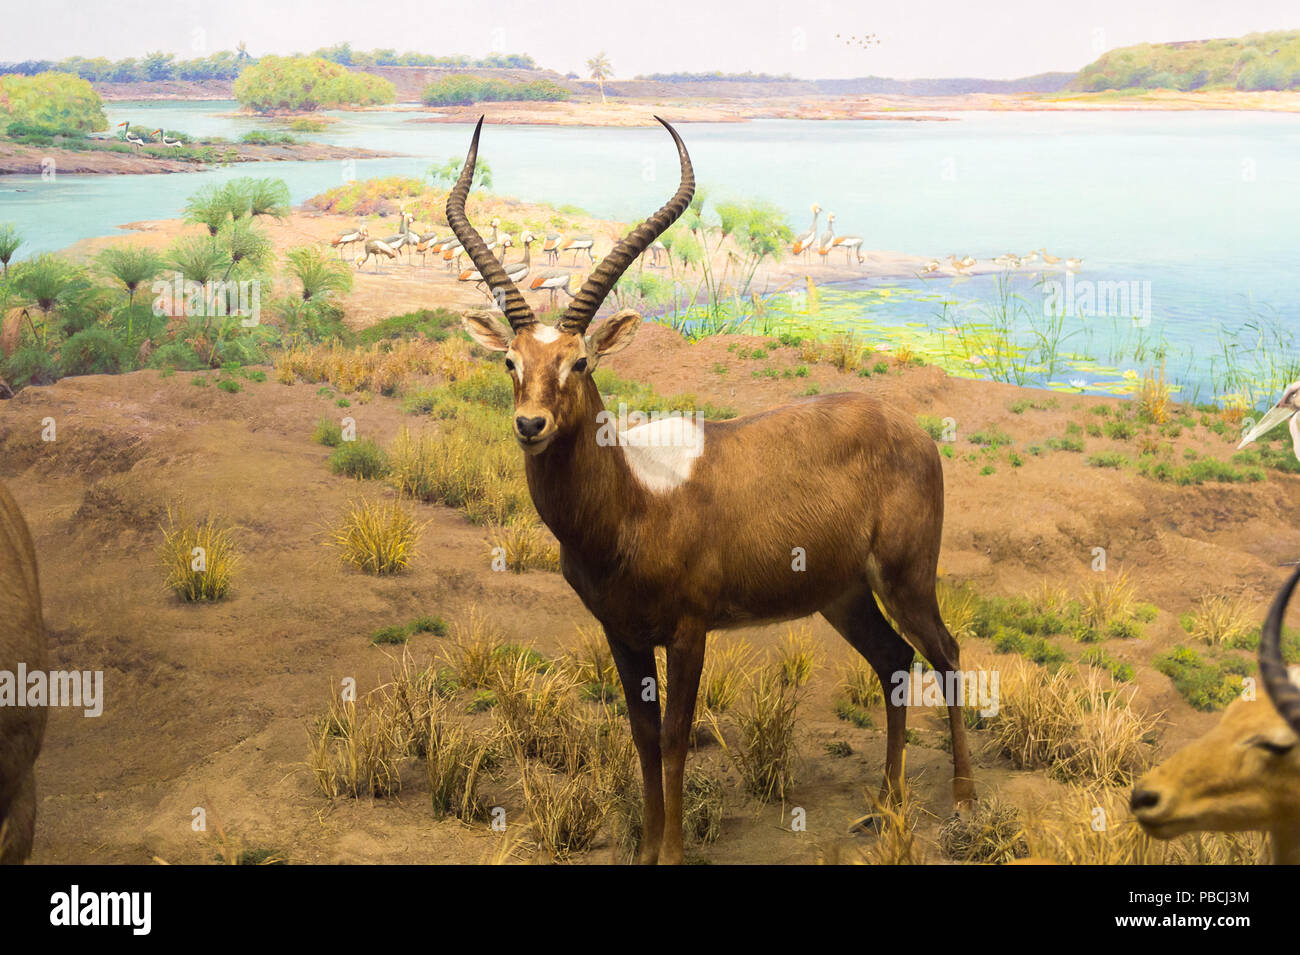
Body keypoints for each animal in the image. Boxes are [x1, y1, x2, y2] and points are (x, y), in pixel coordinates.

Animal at [447, 117, 975, 864]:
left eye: (580, 362)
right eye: (510, 362)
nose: (531, 424)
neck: (634, 498)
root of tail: (913, 430)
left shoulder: (689, 632)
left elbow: (675, 735)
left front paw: (669, 852)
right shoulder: (621, 633)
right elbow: (640, 733)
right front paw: (644, 850)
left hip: (906, 579)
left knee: (947, 654)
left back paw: (962, 802)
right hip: (843, 595)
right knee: (895, 660)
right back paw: (882, 808)